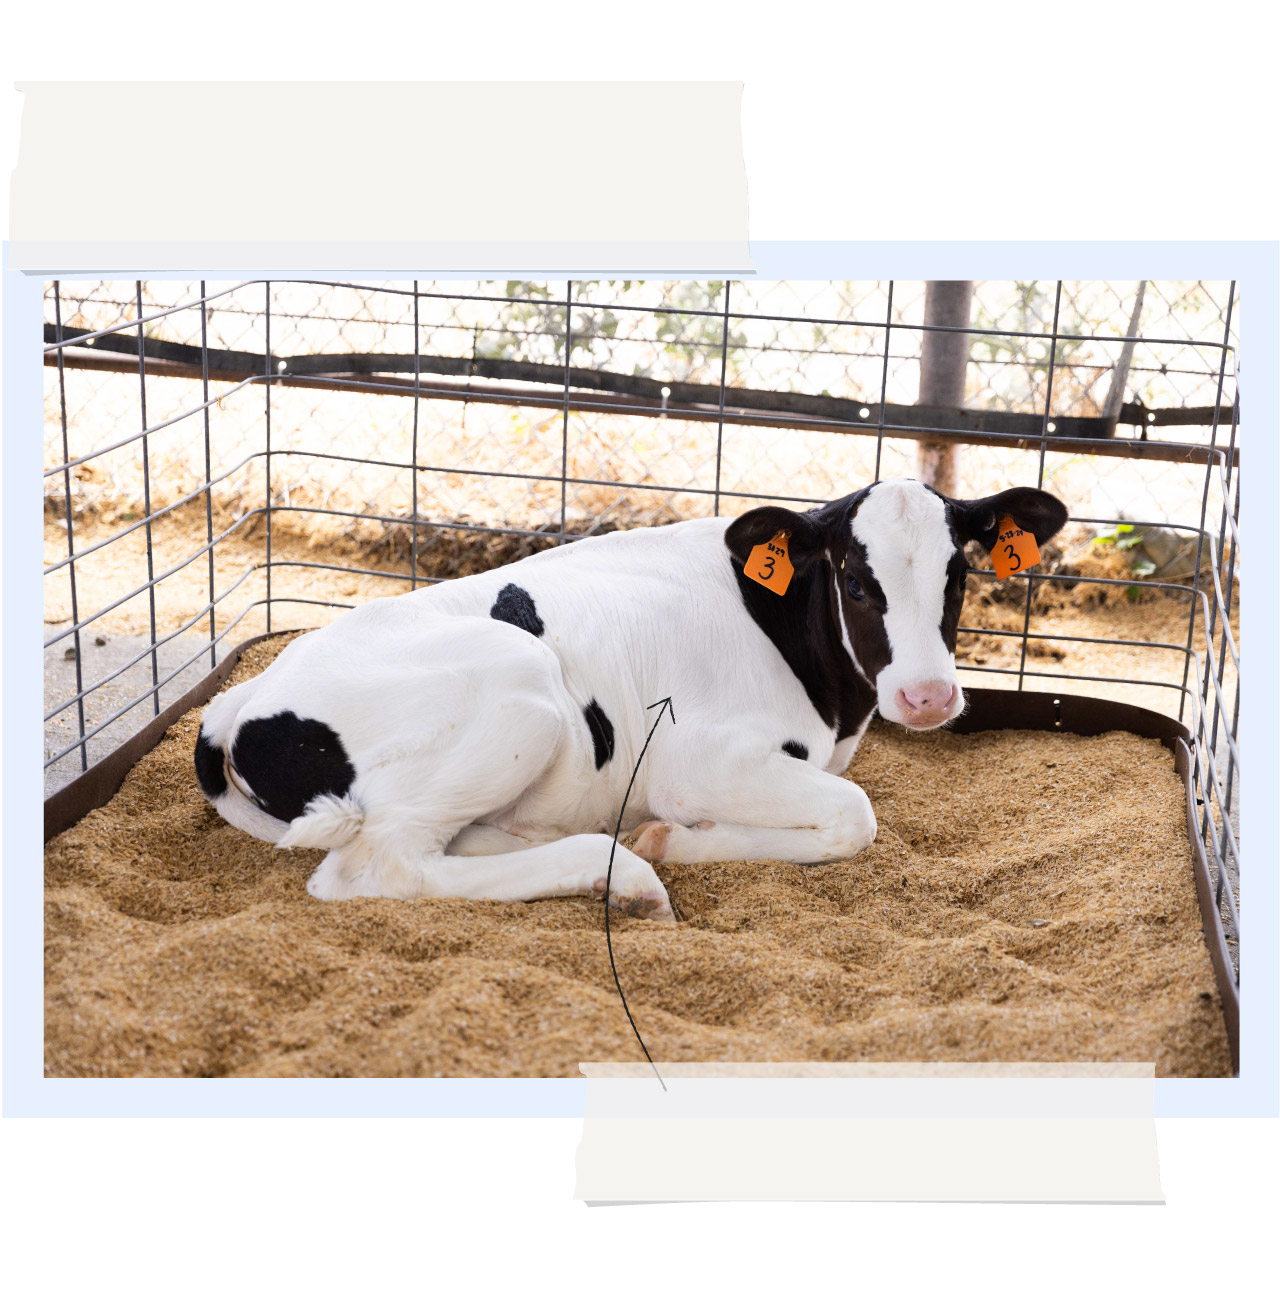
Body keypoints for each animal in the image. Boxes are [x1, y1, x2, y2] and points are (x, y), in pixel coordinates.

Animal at [195, 477, 1067, 917]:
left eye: (959, 574)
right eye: (855, 579)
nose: (928, 696)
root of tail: (239, 701)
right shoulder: (698, 760)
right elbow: (854, 815)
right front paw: (671, 841)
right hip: (523, 691)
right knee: (377, 868)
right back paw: (623, 874)